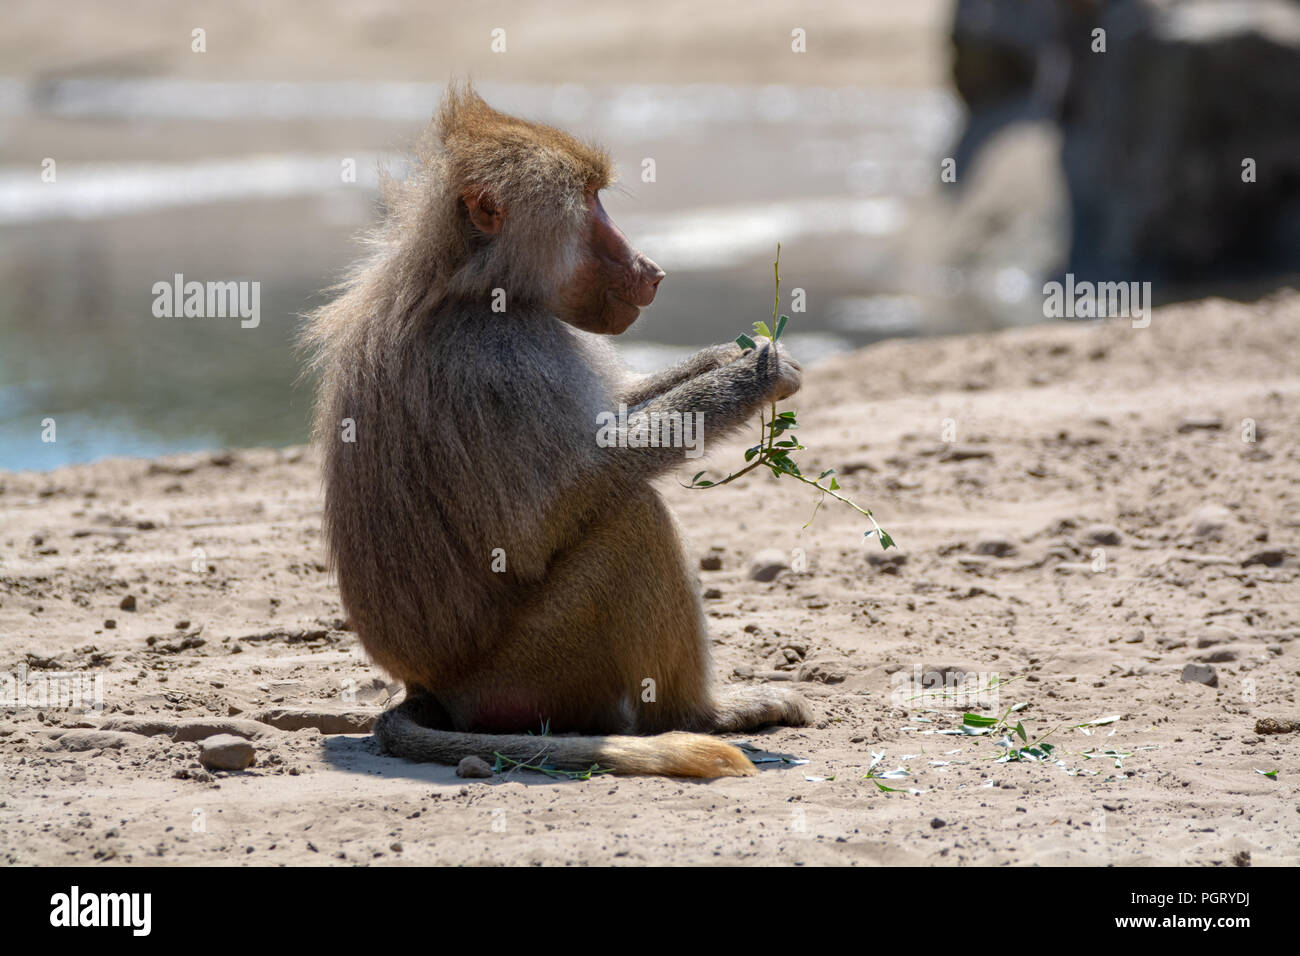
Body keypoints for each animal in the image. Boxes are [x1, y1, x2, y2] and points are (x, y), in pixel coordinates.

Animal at [302, 83, 810, 778]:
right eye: (589, 203)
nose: (652, 269)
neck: (470, 280)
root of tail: (429, 688)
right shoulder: (497, 355)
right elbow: (539, 523)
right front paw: (753, 377)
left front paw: (731, 355)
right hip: (533, 669)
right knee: (632, 521)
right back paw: (704, 717)